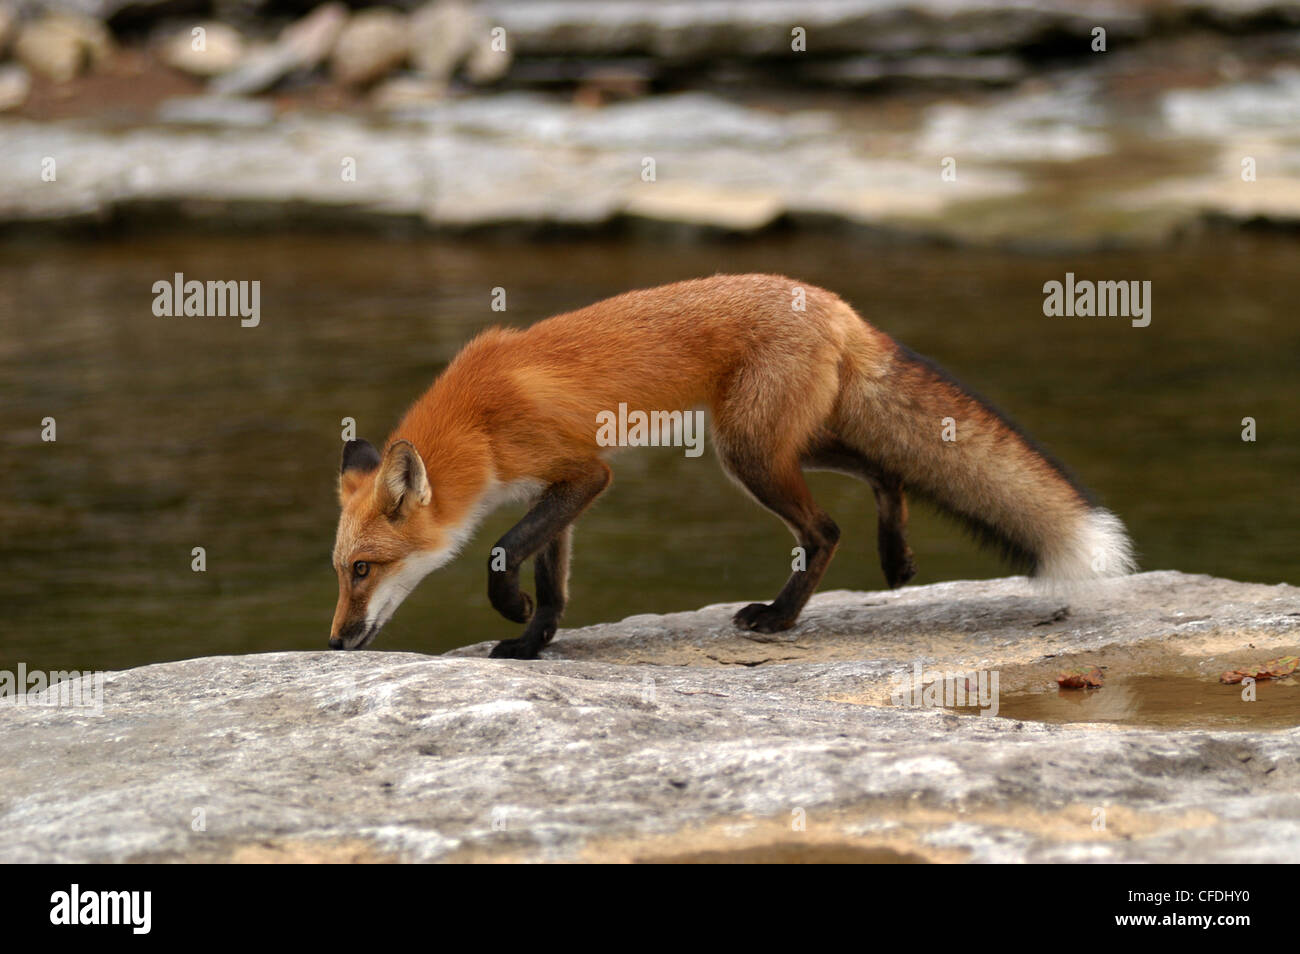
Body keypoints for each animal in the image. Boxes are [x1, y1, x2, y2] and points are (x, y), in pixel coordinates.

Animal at [330, 274, 1135, 658]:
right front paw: (533, 642)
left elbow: (502, 550)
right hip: (783, 441)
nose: (335, 641)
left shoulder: (582, 475)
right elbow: (554, 582)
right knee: (888, 471)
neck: (478, 422)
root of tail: (835, 303)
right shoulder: (558, 490)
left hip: (748, 454)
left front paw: (513, 610)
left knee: (825, 530)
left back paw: (781, 618)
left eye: (362, 570)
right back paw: (896, 555)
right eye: (340, 571)